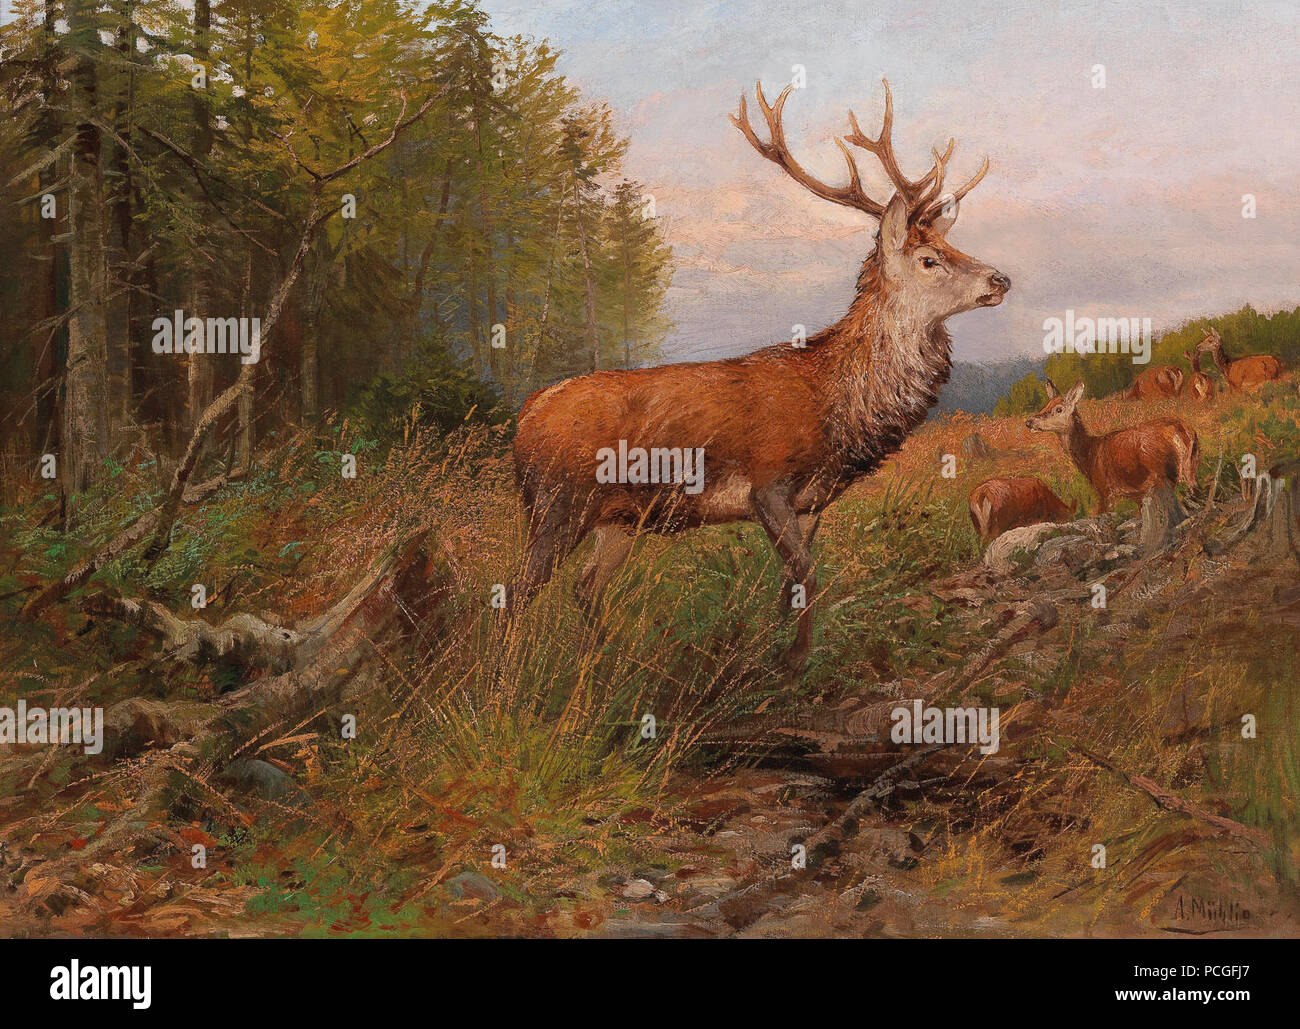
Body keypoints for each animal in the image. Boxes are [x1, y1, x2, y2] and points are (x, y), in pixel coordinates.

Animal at [508, 80, 1009, 673]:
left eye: (953, 245)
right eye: (931, 258)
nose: (1000, 279)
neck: (837, 403)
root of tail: (526, 413)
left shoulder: (813, 501)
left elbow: (792, 579)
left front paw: (772, 650)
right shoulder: (768, 483)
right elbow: (807, 574)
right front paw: (794, 662)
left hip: (618, 518)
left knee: (585, 586)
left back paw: (607, 662)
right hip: (559, 502)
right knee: (517, 589)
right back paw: (507, 672)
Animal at [1025, 379, 1197, 513]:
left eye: (1059, 409)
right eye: (1046, 405)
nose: (1029, 422)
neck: (1089, 455)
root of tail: (1183, 430)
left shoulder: (1106, 490)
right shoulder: (1138, 495)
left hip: (1164, 473)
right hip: (1190, 468)